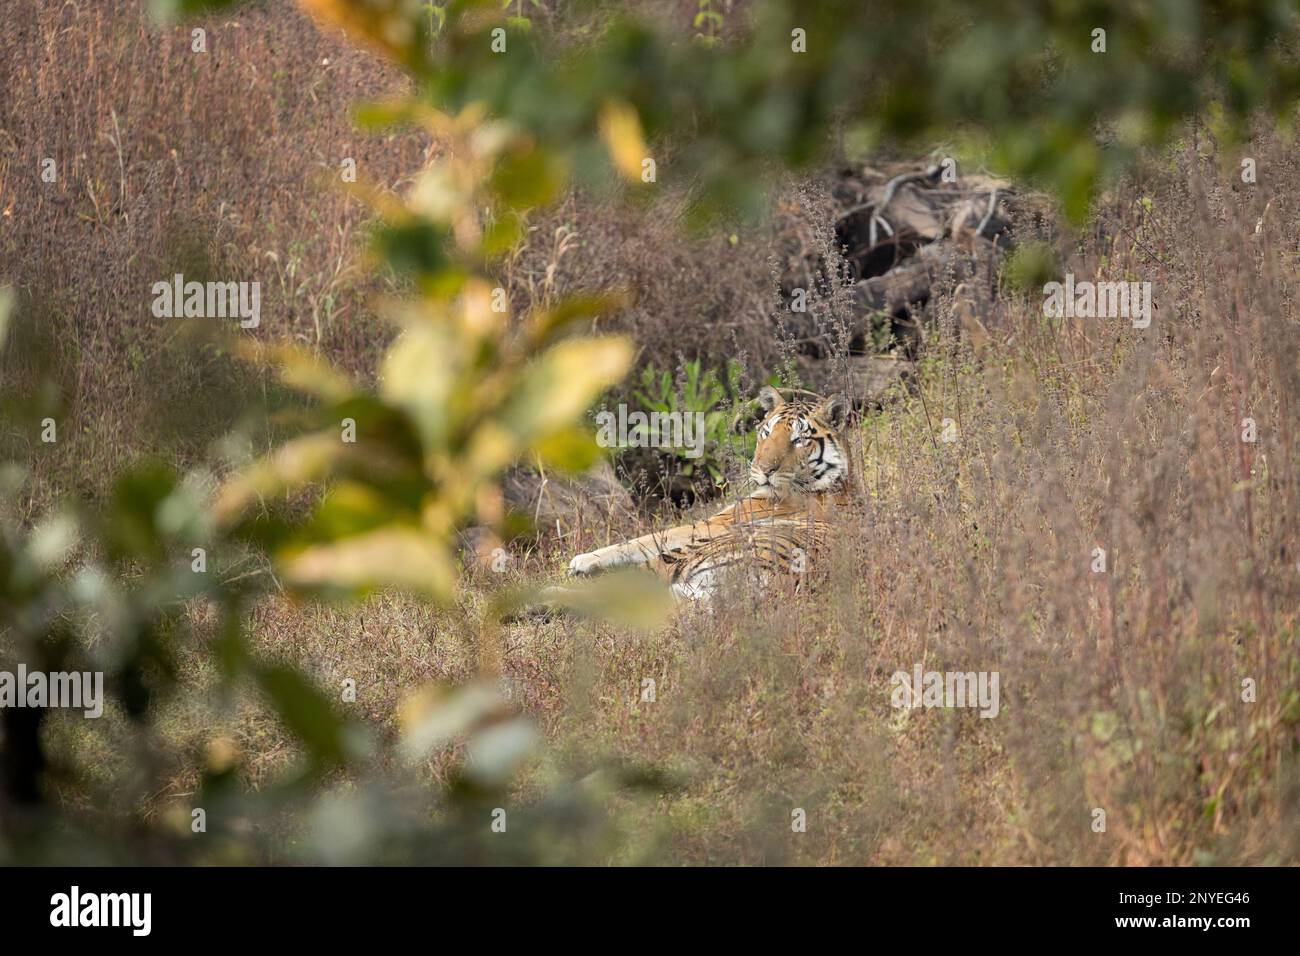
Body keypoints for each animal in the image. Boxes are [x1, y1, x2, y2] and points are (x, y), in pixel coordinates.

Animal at [564, 386, 854, 600]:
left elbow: (643, 539)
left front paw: (582, 560)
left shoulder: (719, 522)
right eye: (766, 433)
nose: (763, 469)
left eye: (799, 439)